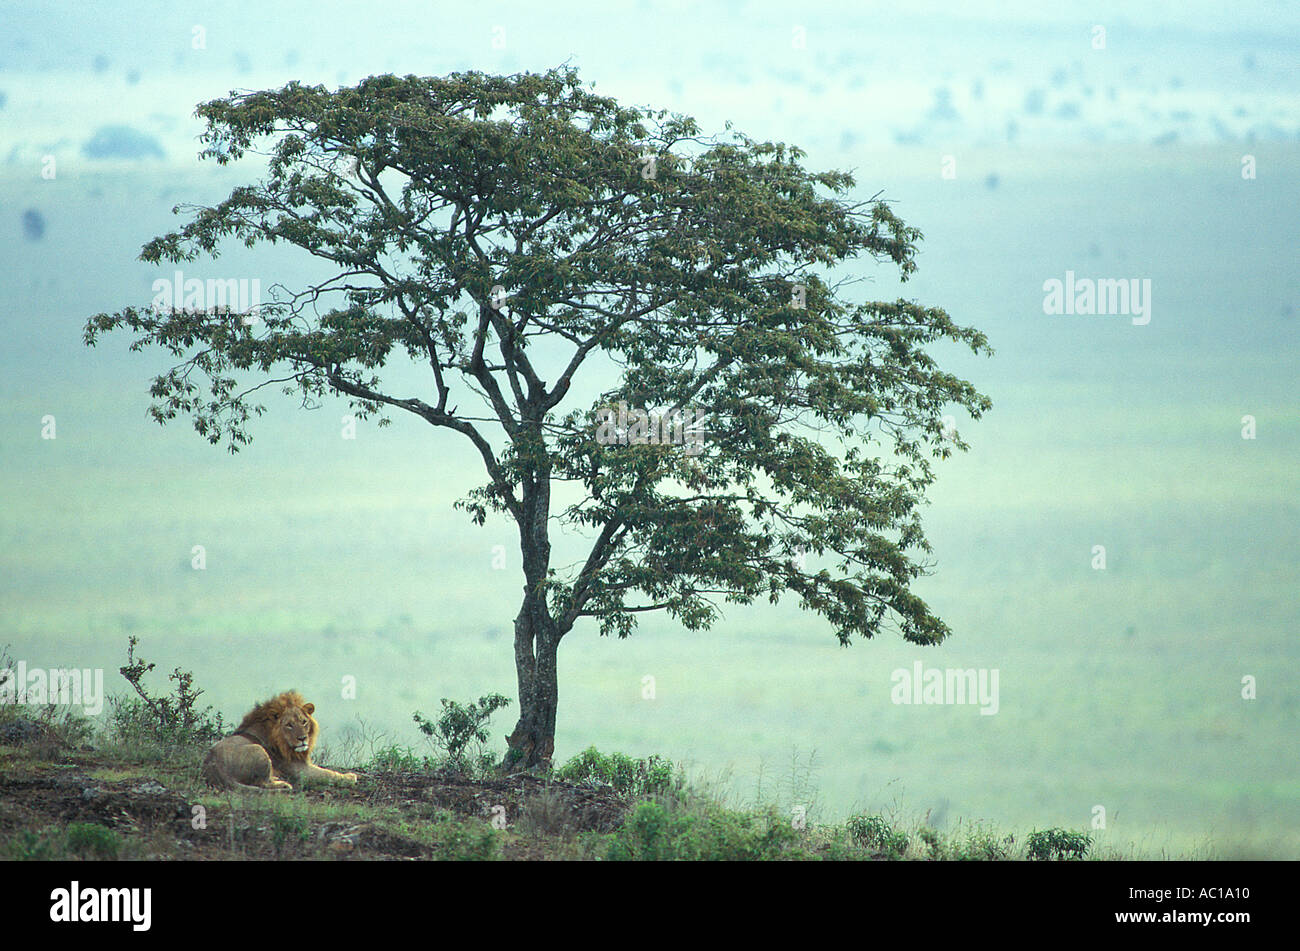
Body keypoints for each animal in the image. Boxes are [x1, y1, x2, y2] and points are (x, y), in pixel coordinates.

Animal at [201, 691, 358, 792]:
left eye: (304, 722)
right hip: (258, 750)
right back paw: (283, 784)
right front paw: (350, 776)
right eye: (289, 725)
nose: (302, 739)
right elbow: (328, 774)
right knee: (262, 783)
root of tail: (216, 768)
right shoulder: (300, 770)